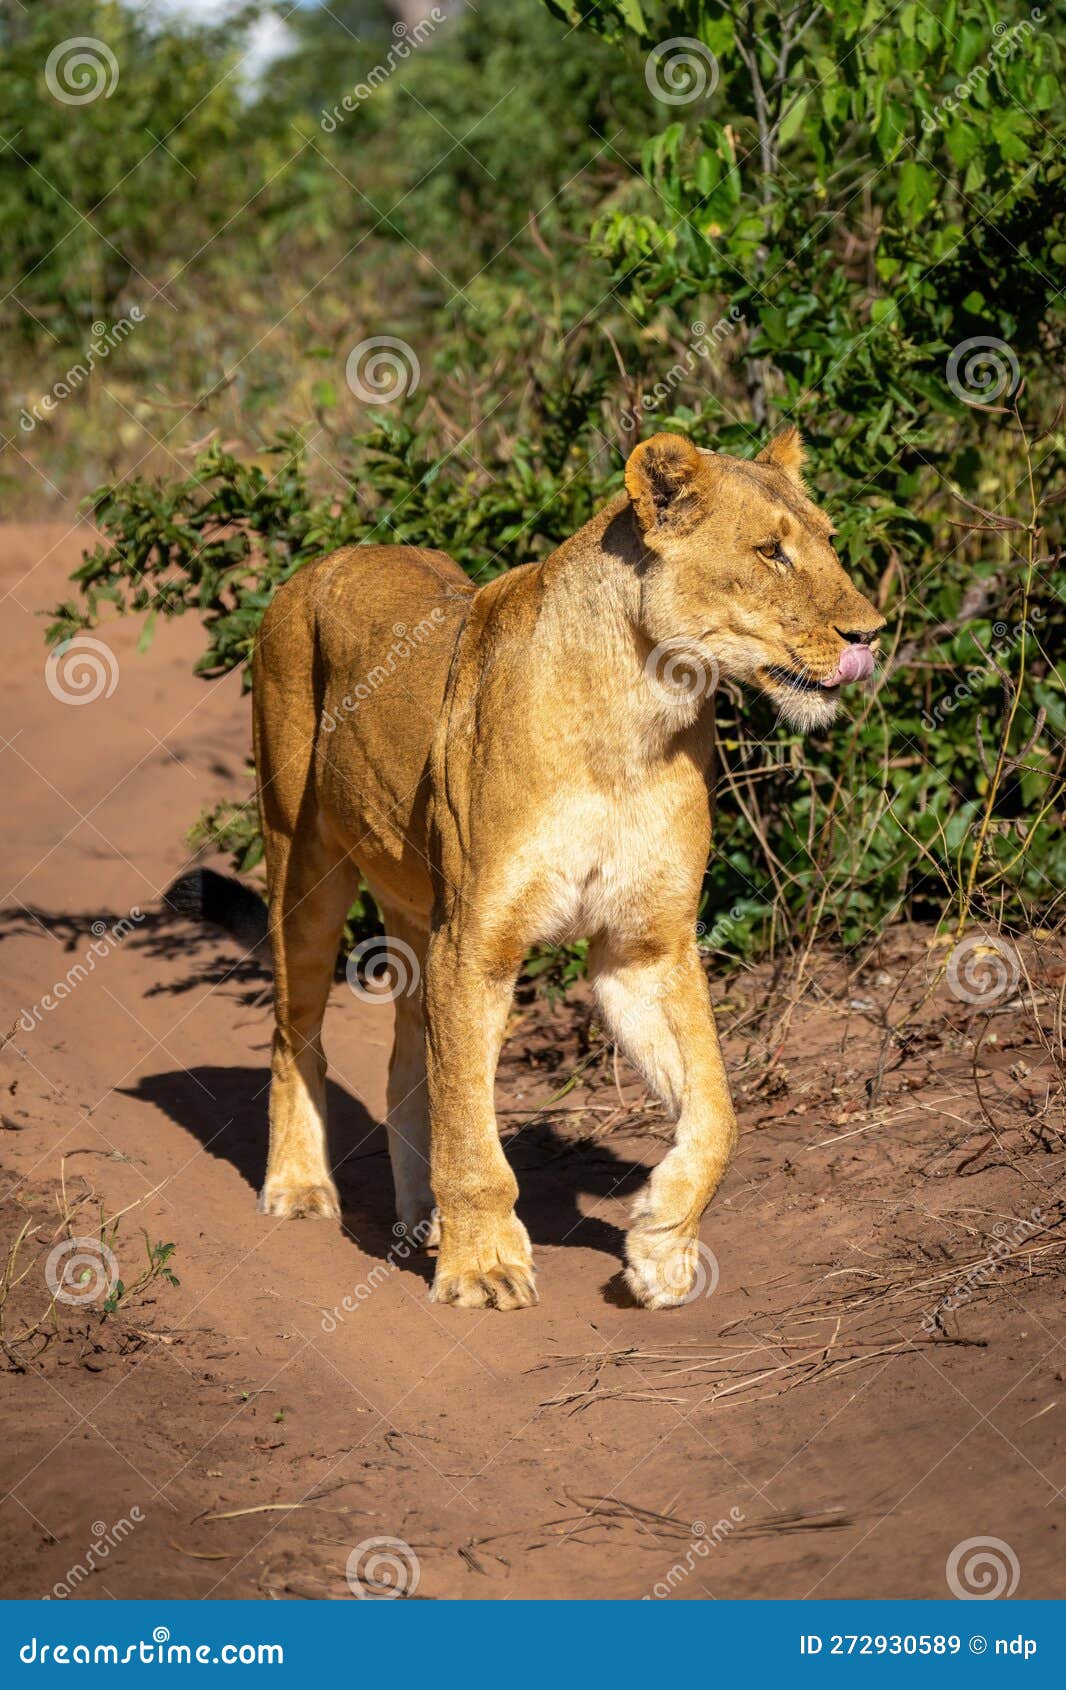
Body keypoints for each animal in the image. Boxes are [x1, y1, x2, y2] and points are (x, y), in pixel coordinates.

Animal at [171, 428, 884, 1310]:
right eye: (770, 552)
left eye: (827, 540)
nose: (871, 634)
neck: (638, 714)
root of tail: (324, 560)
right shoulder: (476, 941)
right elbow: (475, 1134)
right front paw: (482, 1267)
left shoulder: (644, 948)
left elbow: (717, 1110)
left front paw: (662, 1244)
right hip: (302, 861)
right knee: (293, 1032)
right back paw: (301, 1187)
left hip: (415, 902)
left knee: (409, 1062)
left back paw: (420, 1221)